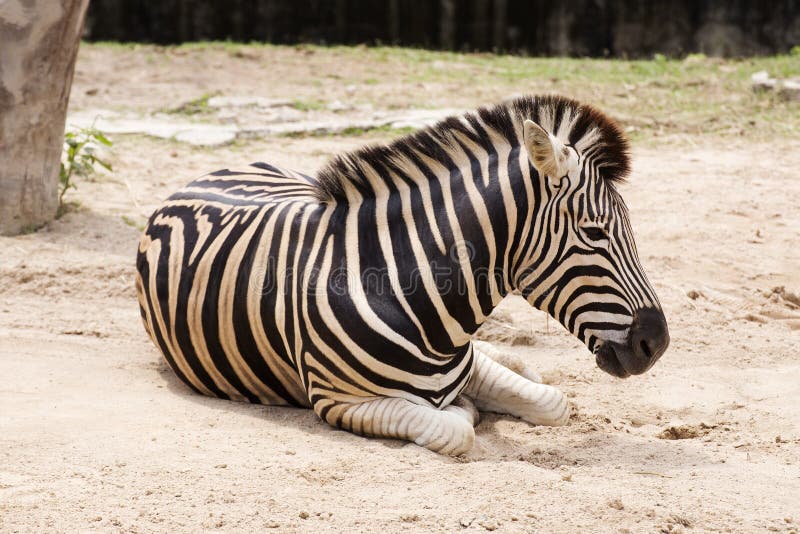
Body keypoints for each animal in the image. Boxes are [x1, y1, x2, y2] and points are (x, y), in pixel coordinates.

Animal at [136, 94, 669, 455]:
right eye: (594, 233)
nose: (657, 343)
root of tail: (202, 175)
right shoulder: (339, 401)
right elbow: (454, 428)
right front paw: (468, 410)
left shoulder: (466, 367)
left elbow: (552, 401)